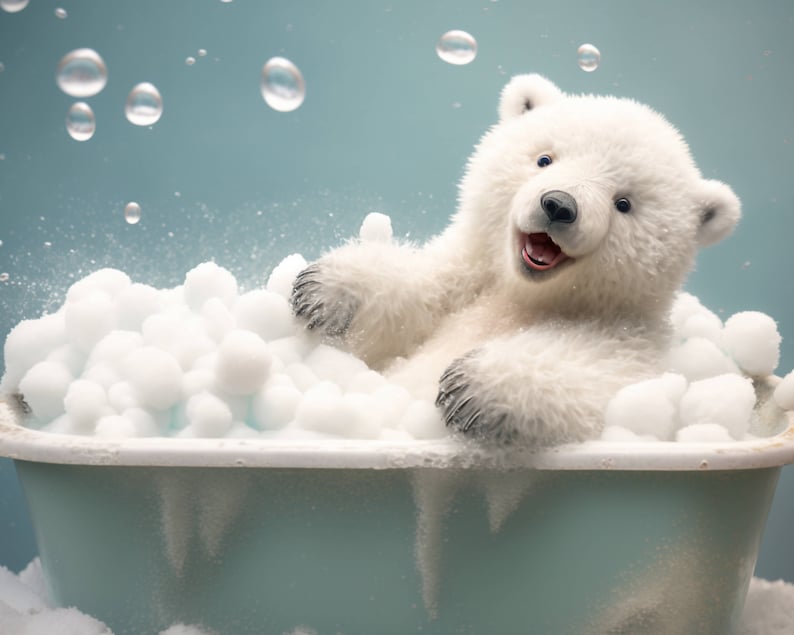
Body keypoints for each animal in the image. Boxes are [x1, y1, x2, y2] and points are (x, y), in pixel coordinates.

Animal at [290, 74, 741, 446]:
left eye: (624, 203)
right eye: (545, 158)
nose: (558, 205)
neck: (523, 294)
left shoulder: (627, 340)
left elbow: (590, 380)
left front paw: (471, 389)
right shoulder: (469, 279)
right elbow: (424, 287)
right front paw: (324, 291)